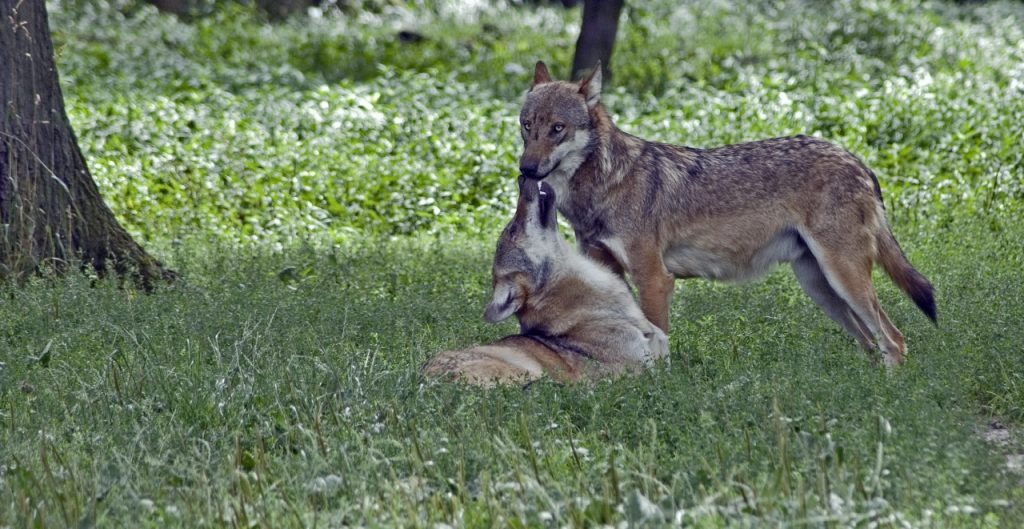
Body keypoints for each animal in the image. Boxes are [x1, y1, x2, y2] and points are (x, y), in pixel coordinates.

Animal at [517, 61, 936, 365]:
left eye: (558, 129)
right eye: (527, 126)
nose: (526, 169)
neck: (605, 182)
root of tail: (856, 159)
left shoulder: (655, 279)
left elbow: (658, 338)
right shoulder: (608, 271)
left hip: (844, 278)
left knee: (894, 340)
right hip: (821, 288)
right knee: (871, 344)